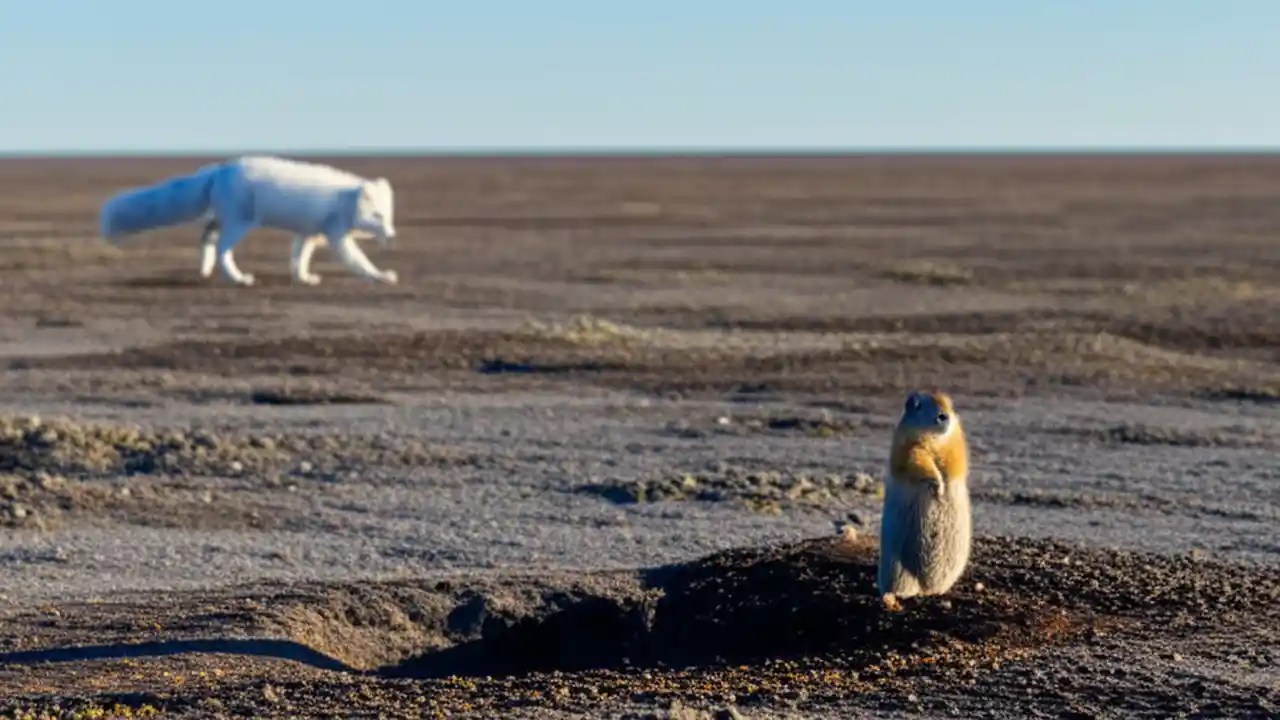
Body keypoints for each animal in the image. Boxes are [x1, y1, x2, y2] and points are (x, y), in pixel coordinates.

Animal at [99, 155, 399, 286]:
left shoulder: (307, 233)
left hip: (223, 218)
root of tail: (220, 170)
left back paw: (205, 269)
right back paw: (238, 278)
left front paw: (304, 277)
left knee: (205, 236)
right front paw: (380, 275)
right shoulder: (336, 234)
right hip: (240, 223)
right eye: (378, 216)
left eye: (389, 216)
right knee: (222, 248)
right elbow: (358, 260)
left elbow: (299, 258)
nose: (392, 234)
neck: (346, 201)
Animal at [877, 390, 972, 612]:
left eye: (950, 404)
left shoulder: (954, 443)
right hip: (896, 565)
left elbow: (953, 463)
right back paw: (892, 598)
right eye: (917, 405)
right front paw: (937, 486)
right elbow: (918, 461)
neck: (934, 438)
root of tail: (926, 589)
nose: (944, 416)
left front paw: (942, 489)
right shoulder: (907, 447)